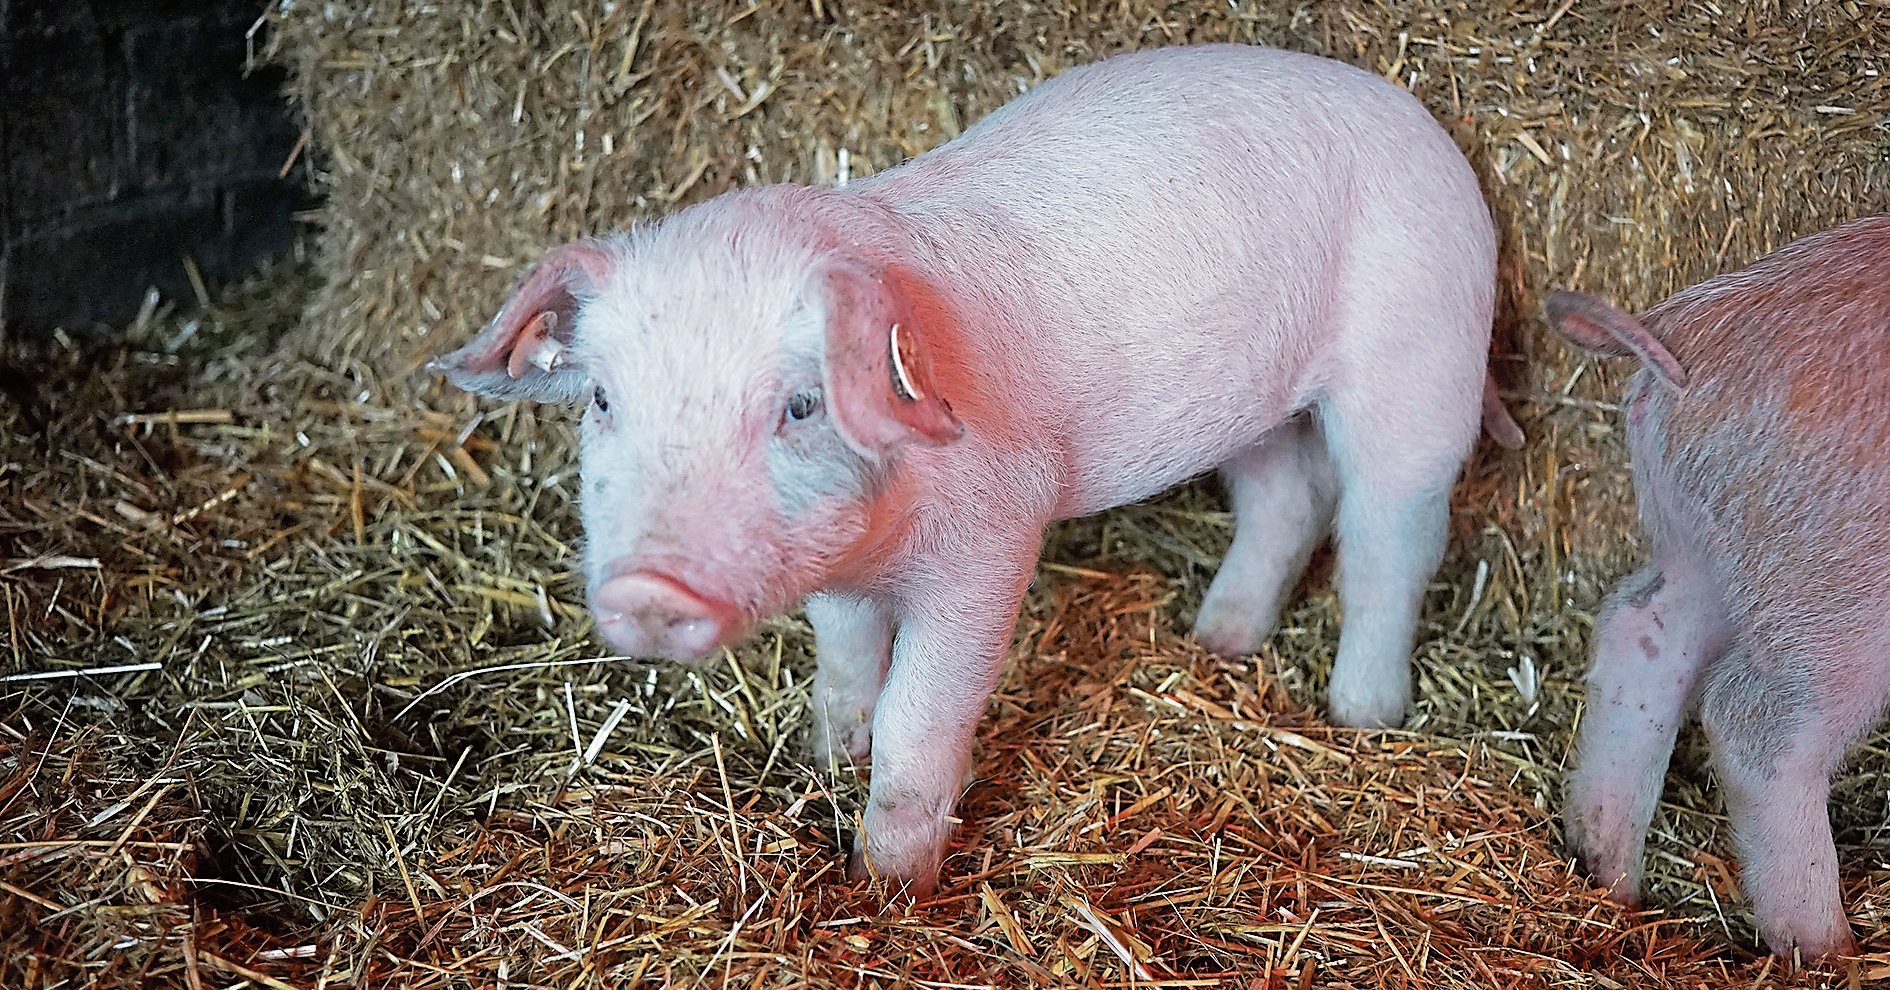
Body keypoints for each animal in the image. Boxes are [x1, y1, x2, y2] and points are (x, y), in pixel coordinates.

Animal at [433, 43, 1518, 895]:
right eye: (605, 403)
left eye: (799, 406)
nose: (649, 589)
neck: (881, 538)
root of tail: (1419, 121)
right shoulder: (840, 572)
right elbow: (843, 665)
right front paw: (829, 757)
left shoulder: (994, 542)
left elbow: (921, 719)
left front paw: (888, 890)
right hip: (1252, 411)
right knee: (1288, 500)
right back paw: (1214, 643)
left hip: (1420, 362)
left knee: (1390, 540)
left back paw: (1359, 715)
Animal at [1553, 213, 1890, 958]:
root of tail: (1689, 328)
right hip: (1840, 585)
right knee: (1753, 722)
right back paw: (1832, 951)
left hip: (1711, 541)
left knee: (1641, 633)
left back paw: (1613, 884)